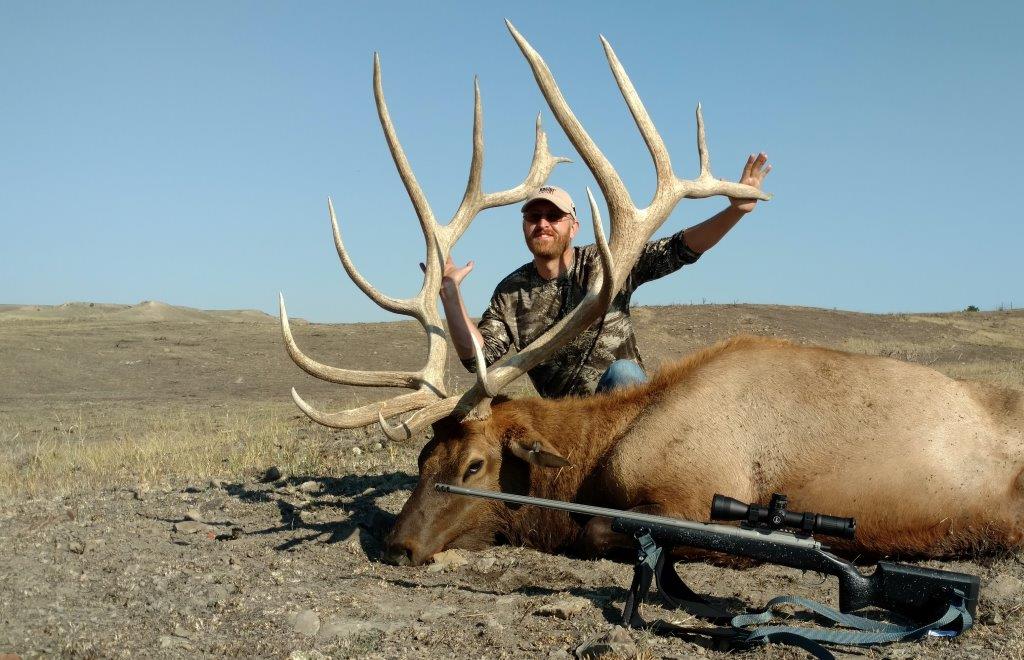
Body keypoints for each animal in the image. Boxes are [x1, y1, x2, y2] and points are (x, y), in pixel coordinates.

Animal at [279, 22, 1024, 567]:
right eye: (419, 460)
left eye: (475, 463)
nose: (397, 546)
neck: (599, 457)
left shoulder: (698, 495)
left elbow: (602, 534)